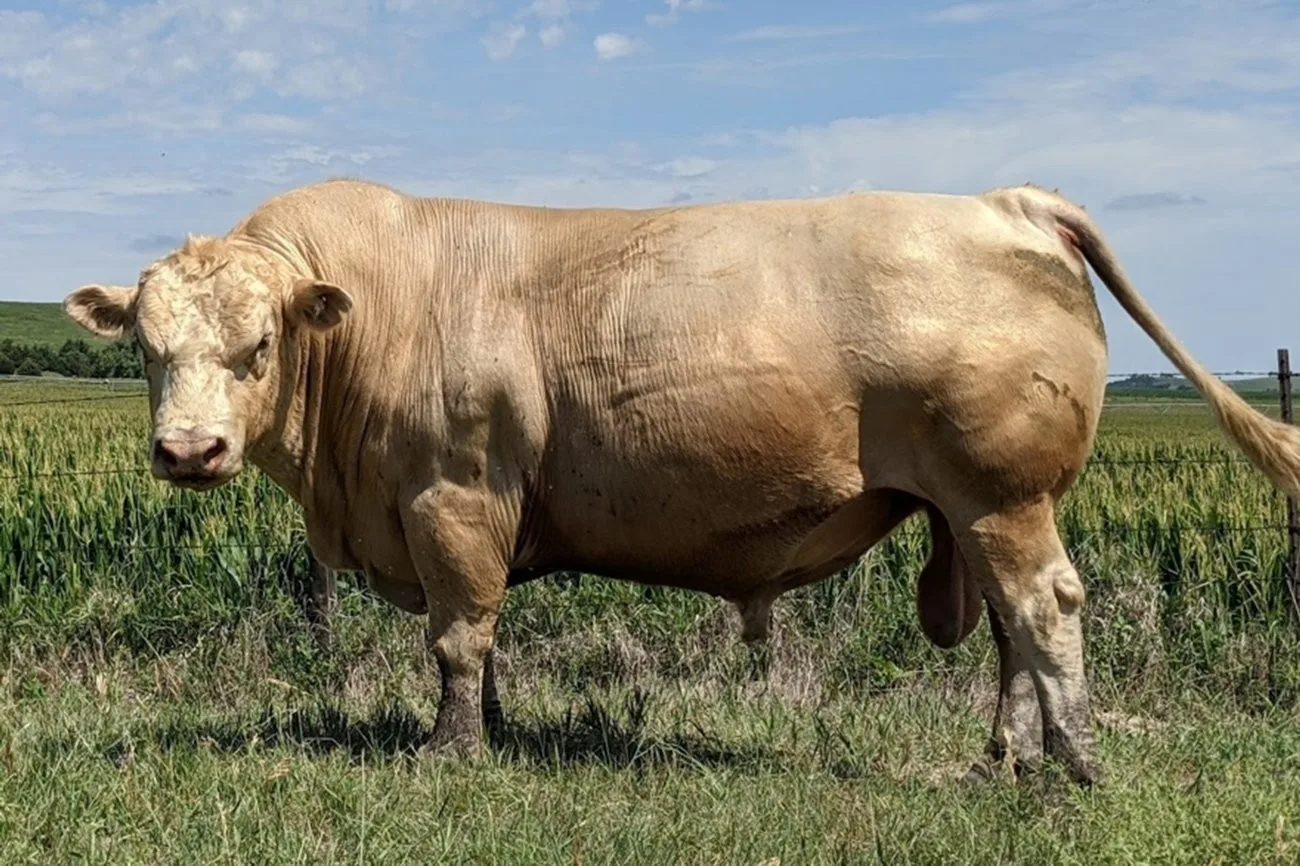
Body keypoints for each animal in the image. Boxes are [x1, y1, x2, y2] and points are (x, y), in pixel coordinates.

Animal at [63, 178, 1300, 786]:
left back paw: (1074, 762)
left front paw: (450, 751)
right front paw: (494, 725)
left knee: (1046, 608)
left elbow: (458, 632)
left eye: (259, 345)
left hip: (1002, 492)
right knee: (1008, 626)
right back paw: (1005, 758)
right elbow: (486, 636)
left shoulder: (451, 494)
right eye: (148, 350)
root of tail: (1005, 200)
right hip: (978, 508)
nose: (189, 452)